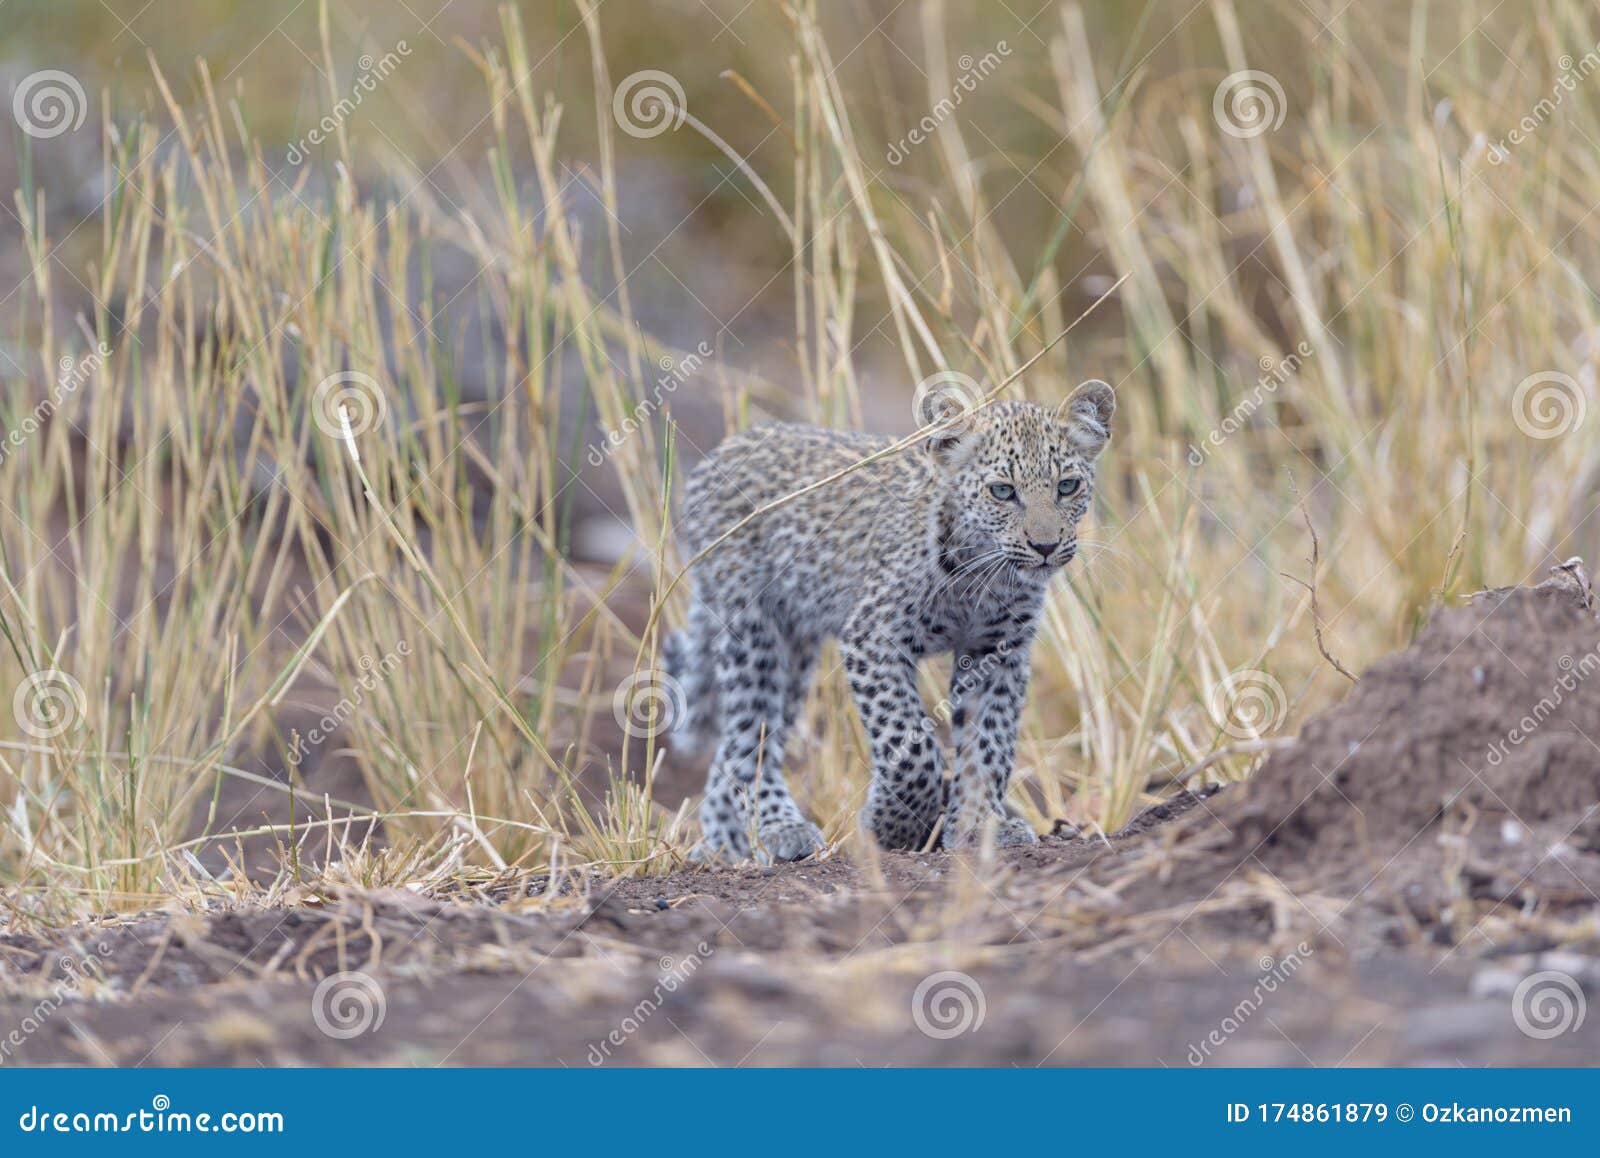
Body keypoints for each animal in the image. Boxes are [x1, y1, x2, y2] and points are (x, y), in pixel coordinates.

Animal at [662, 381, 1115, 863]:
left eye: (1067, 487)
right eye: (1002, 491)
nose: (1045, 547)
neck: (982, 576)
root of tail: (723, 450)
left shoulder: (998, 652)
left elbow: (989, 744)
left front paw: (977, 825)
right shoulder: (872, 637)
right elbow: (908, 740)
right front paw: (892, 824)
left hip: (796, 644)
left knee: (732, 752)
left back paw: (728, 844)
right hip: (753, 629)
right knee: (752, 733)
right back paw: (780, 828)